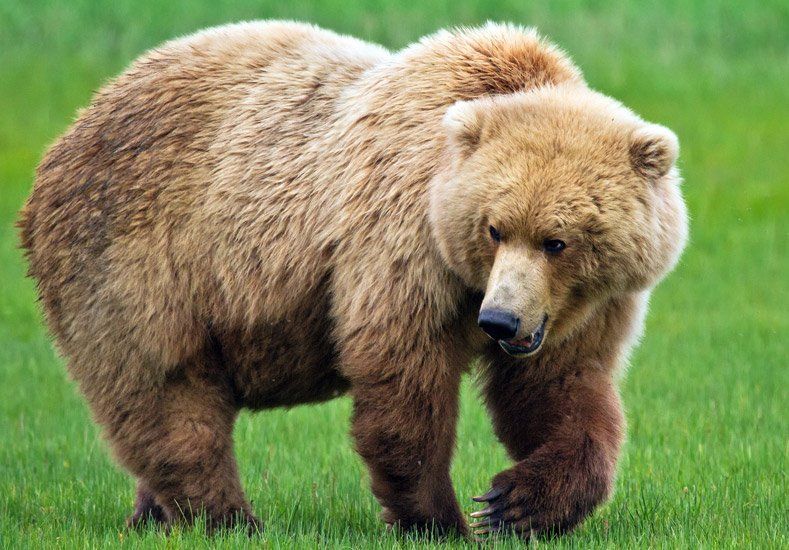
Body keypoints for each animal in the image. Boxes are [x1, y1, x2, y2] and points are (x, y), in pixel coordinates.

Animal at [18, 21, 687, 539]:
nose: (498, 322)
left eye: (557, 240)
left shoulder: (582, 305)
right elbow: (402, 376)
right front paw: (440, 519)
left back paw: (152, 514)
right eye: (495, 228)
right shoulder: (402, 239)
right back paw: (228, 517)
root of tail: (68, 134)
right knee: (168, 392)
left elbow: (560, 390)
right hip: (139, 259)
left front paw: (515, 503)